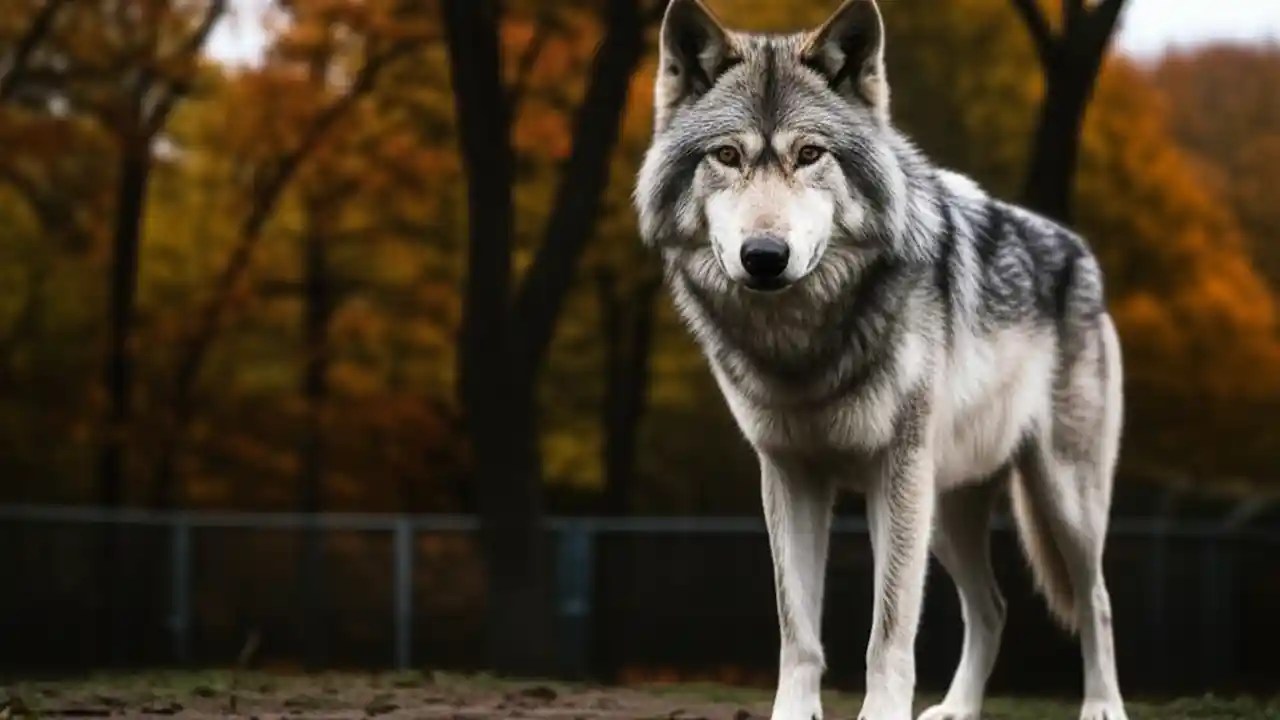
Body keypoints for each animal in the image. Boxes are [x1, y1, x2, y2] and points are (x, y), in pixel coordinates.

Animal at [633, 1, 1128, 719]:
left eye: (810, 154)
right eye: (726, 155)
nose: (764, 256)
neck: (802, 344)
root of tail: (1079, 252)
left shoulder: (895, 473)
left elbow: (889, 630)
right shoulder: (790, 475)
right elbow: (798, 629)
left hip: (1058, 497)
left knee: (1096, 600)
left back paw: (1102, 705)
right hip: (946, 511)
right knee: (994, 606)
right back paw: (956, 708)